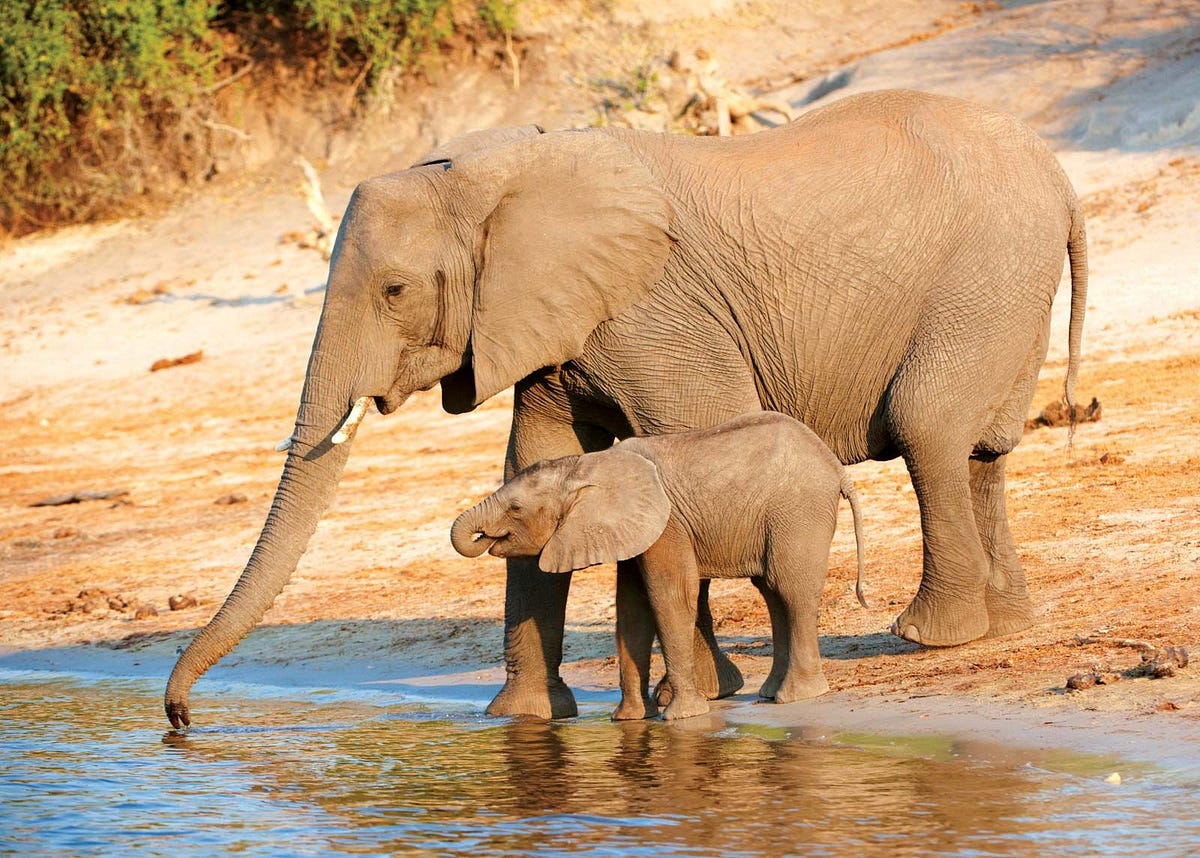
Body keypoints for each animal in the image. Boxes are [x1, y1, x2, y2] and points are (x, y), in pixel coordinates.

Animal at [450, 411, 868, 721]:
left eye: (516, 508)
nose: (484, 536)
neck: (585, 467)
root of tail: (834, 466)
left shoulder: (667, 525)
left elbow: (669, 597)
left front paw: (681, 717)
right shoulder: (635, 529)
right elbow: (631, 610)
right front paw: (630, 720)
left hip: (797, 510)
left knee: (789, 588)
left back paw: (796, 696)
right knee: (771, 592)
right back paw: (770, 693)